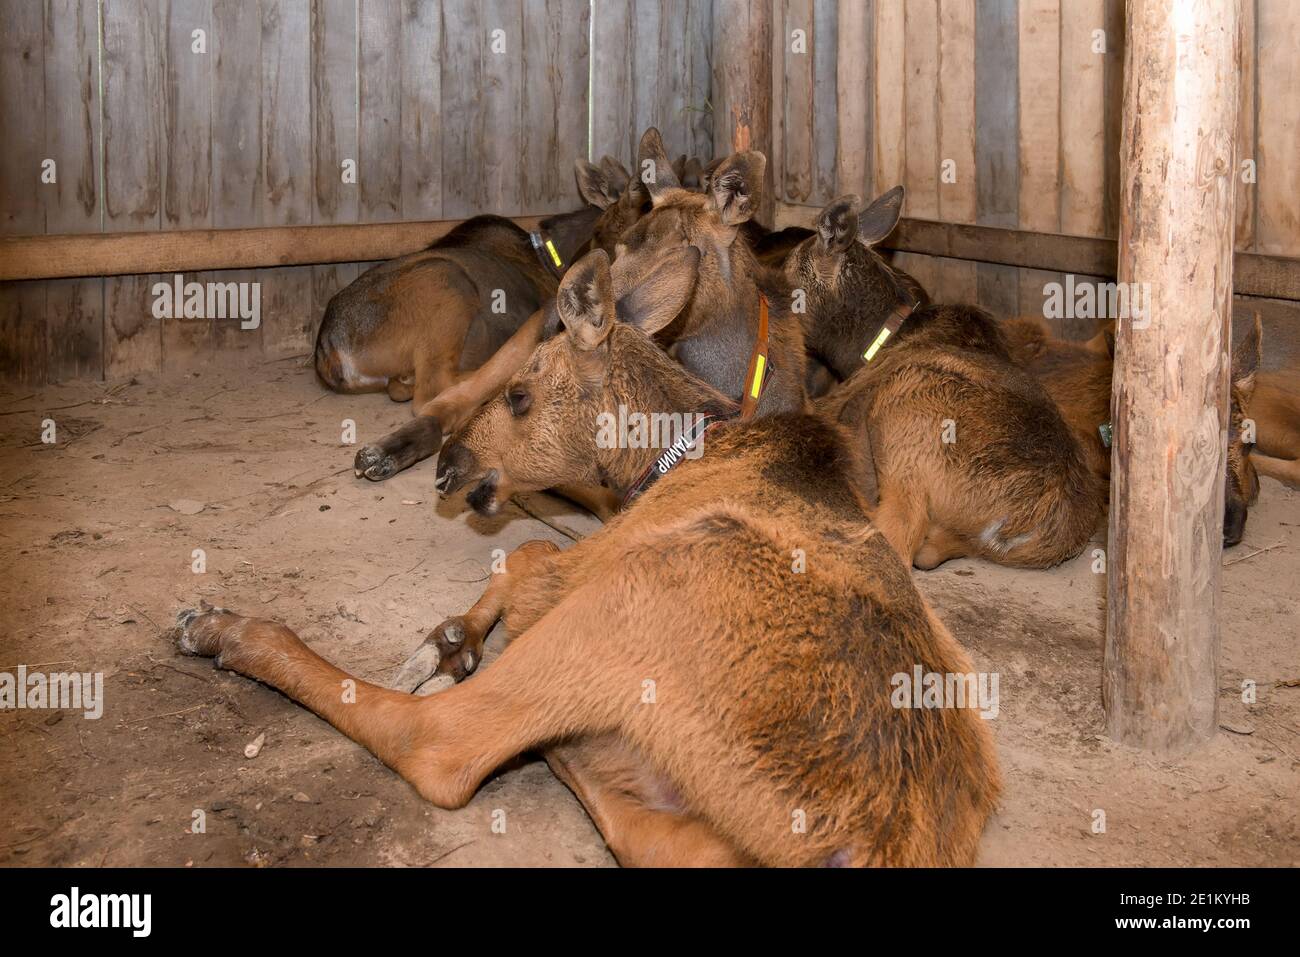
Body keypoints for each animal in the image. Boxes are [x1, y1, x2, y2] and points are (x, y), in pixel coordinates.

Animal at [175, 248, 1001, 867]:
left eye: (519, 395)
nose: (448, 467)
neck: (659, 460)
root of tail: (868, 843)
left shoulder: (592, 562)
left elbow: (527, 552)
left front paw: (450, 637)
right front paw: (454, 637)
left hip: (633, 597)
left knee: (439, 742)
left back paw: (224, 627)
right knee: (639, 830)